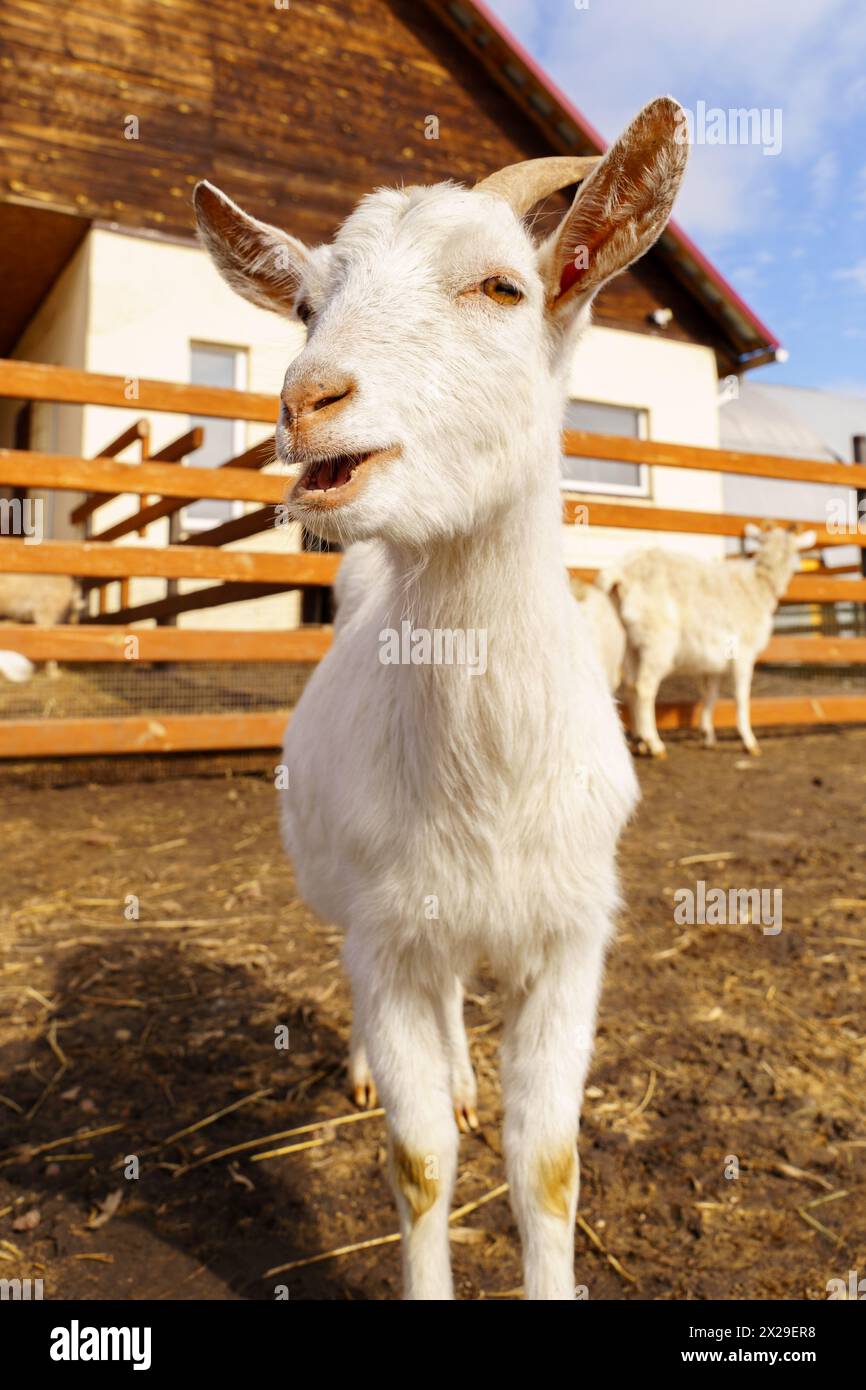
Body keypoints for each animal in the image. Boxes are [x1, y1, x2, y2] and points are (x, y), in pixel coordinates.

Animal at [194, 95, 687, 1300]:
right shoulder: (388, 935)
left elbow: (548, 1163)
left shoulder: (570, 936)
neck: (490, 777)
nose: (307, 399)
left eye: (502, 287)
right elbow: (418, 1165)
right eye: (307, 305)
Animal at [600, 524, 817, 759]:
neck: (758, 587)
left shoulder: (714, 662)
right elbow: (741, 696)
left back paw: (639, 743)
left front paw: (708, 736)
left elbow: (710, 694)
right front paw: (749, 742)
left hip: (629, 642)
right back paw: (655, 744)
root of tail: (622, 573)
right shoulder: (744, 653)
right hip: (657, 638)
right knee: (644, 687)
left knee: (630, 686)